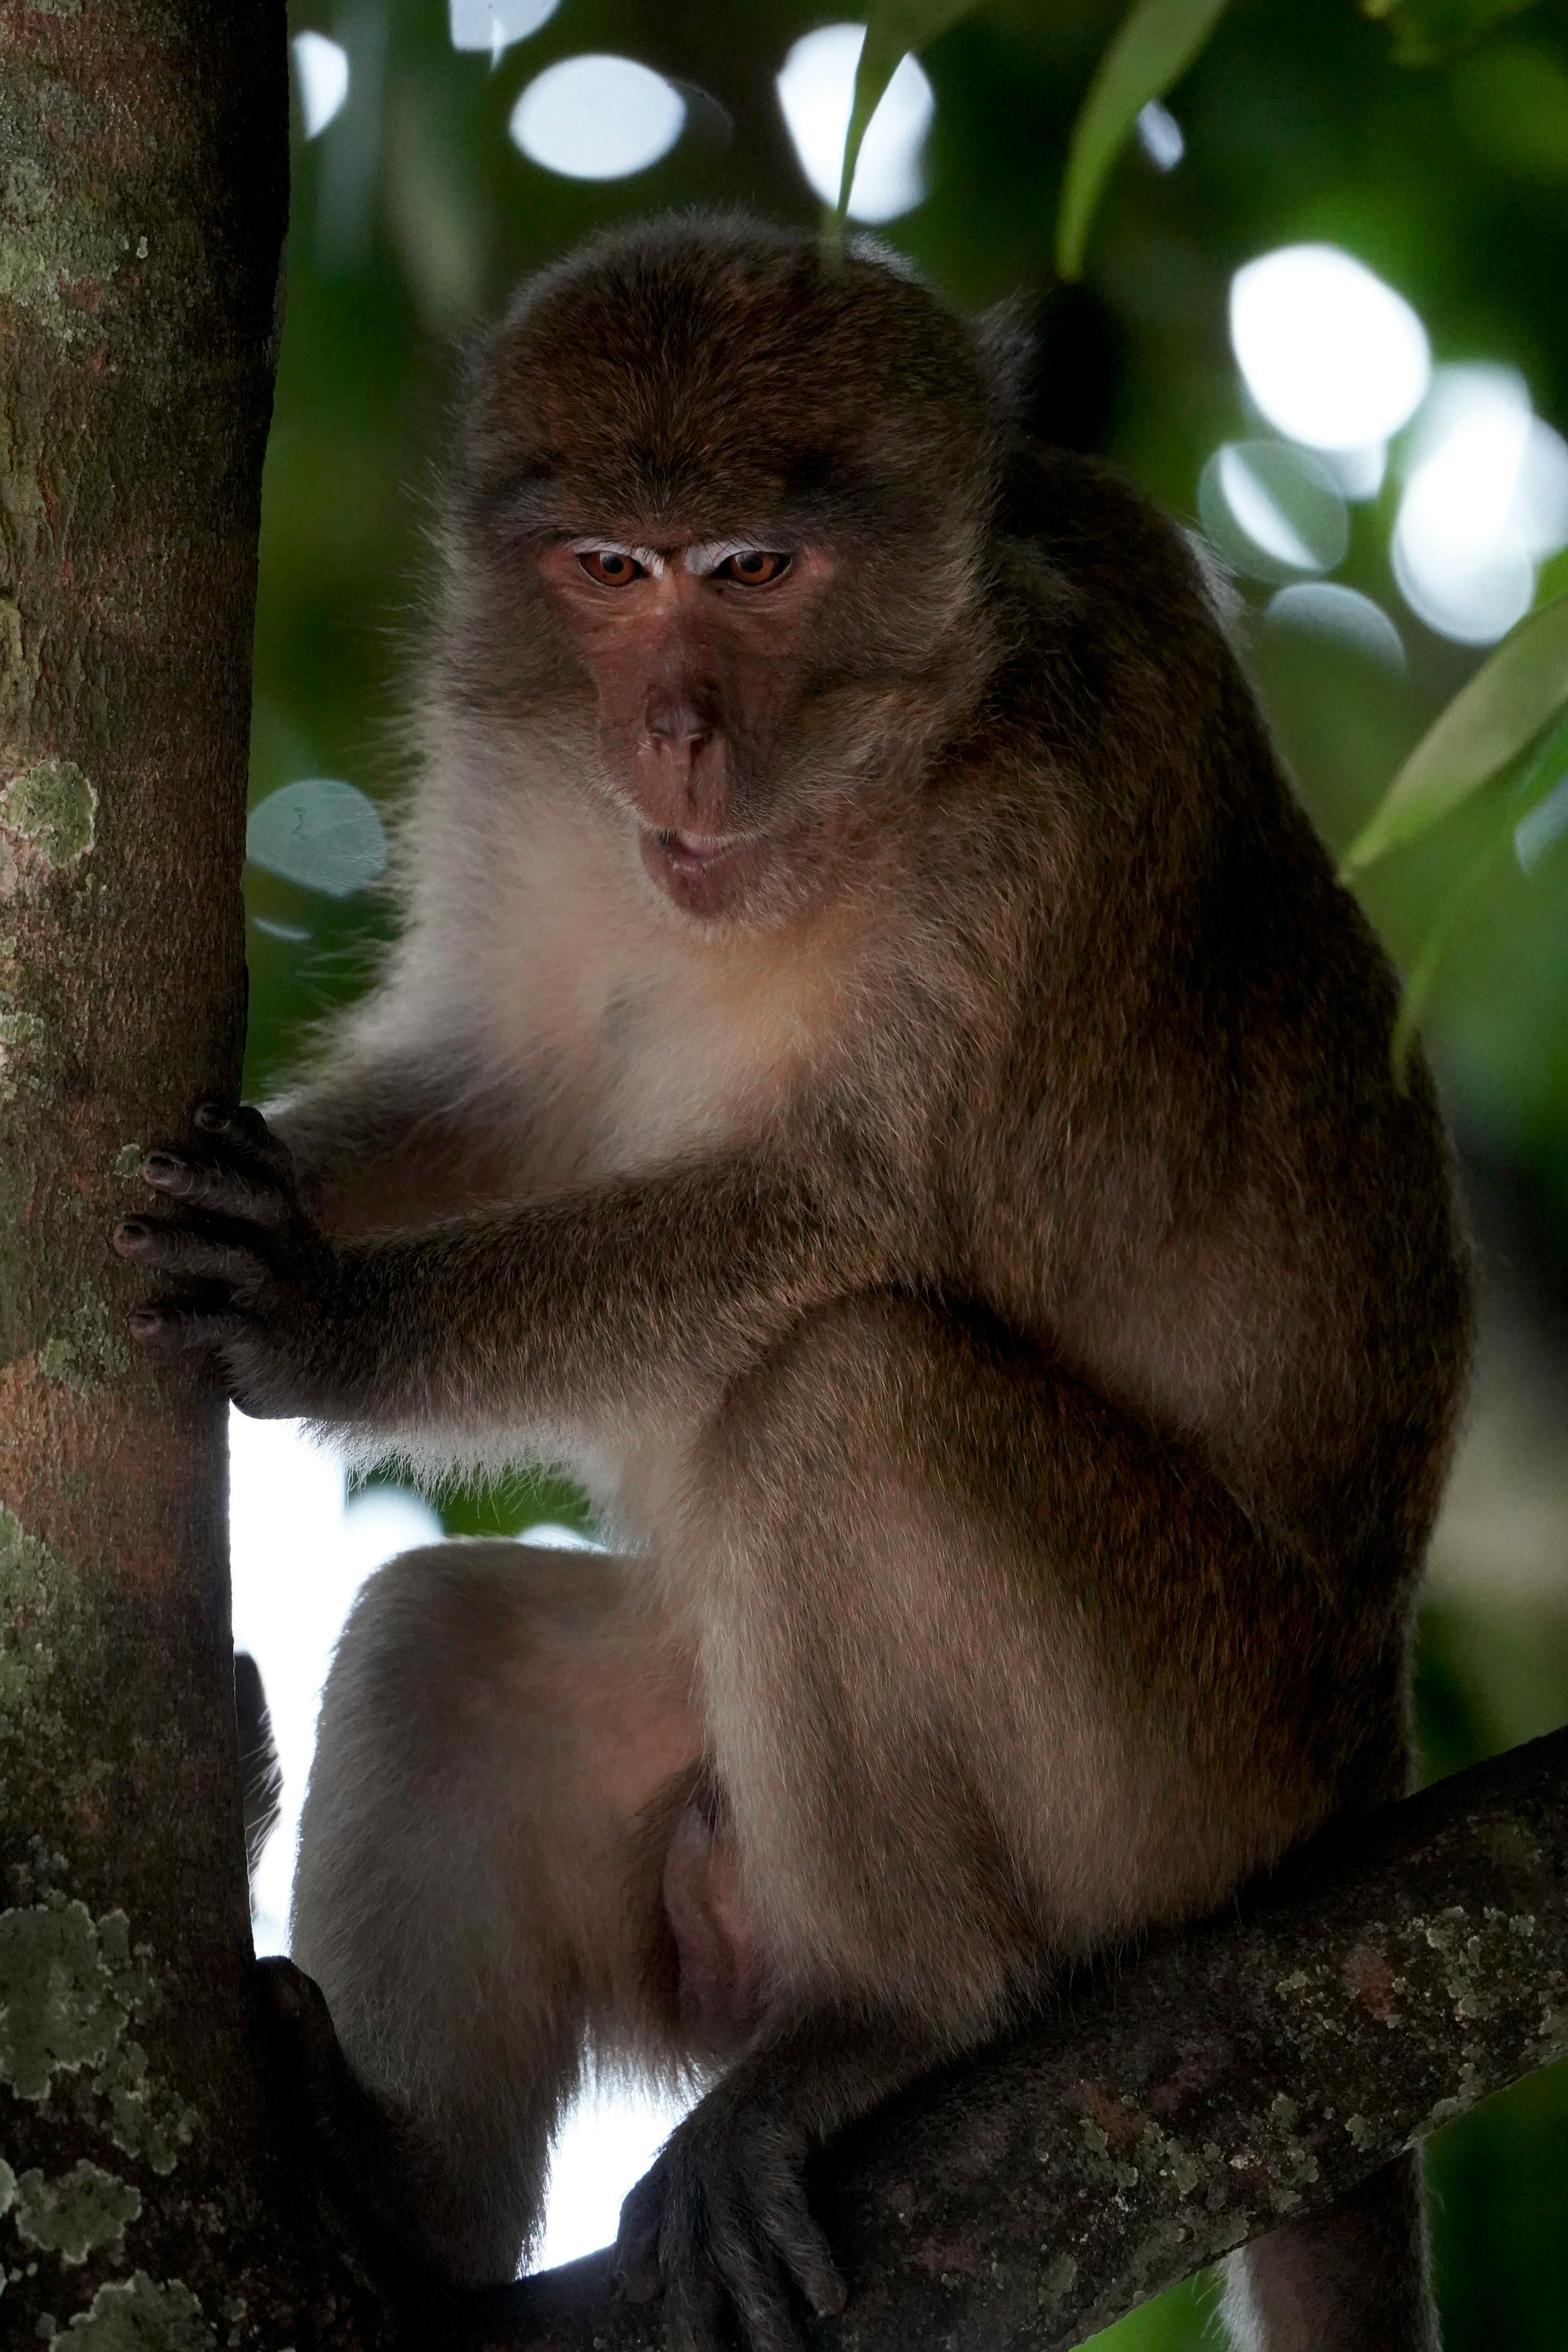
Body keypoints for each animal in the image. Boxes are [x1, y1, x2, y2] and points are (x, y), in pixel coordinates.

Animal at [115, 214, 1472, 2352]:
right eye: (608, 572)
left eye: (754, 572)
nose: (672, 733)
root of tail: (1356, 1756)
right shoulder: (522, 768)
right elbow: (516, 1097)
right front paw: (267, 1191)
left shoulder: (1065, 784)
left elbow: (836, 1210)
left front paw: (319, 1314)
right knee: (443, 1642)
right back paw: (395, 2203)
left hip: (1186, 1771)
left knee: (850, 1396)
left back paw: (891, 2013)